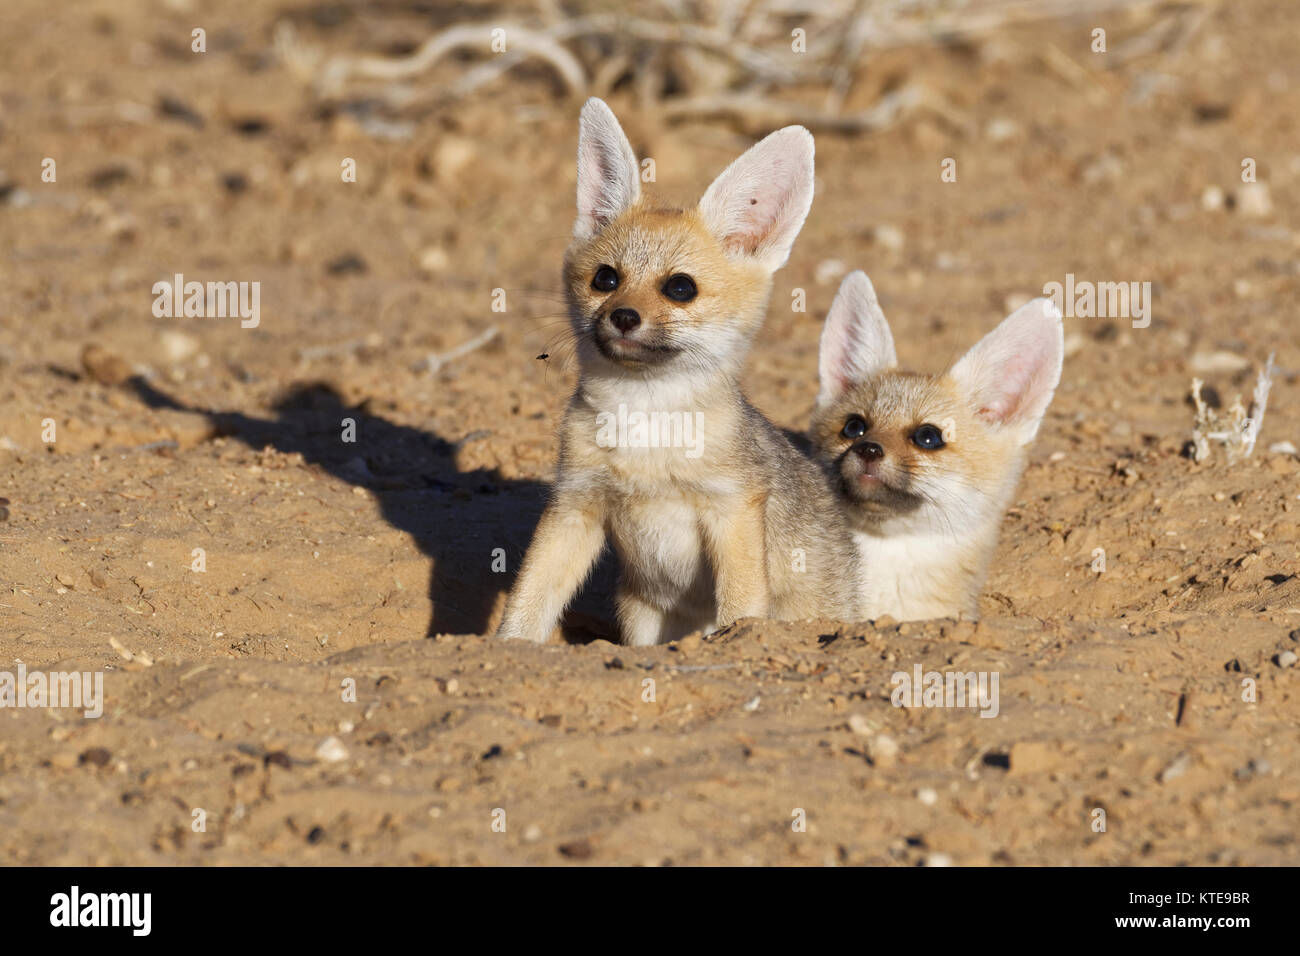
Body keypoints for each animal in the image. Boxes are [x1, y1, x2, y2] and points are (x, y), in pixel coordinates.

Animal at [496, 98, 862, 646]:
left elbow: (741, 608)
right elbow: (529, 596)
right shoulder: (575, 502)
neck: (646, 429)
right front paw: (508, 645)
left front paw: (738, 642)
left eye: (681, 288)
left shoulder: (730, 508)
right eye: (606, 279)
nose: (623, 316)